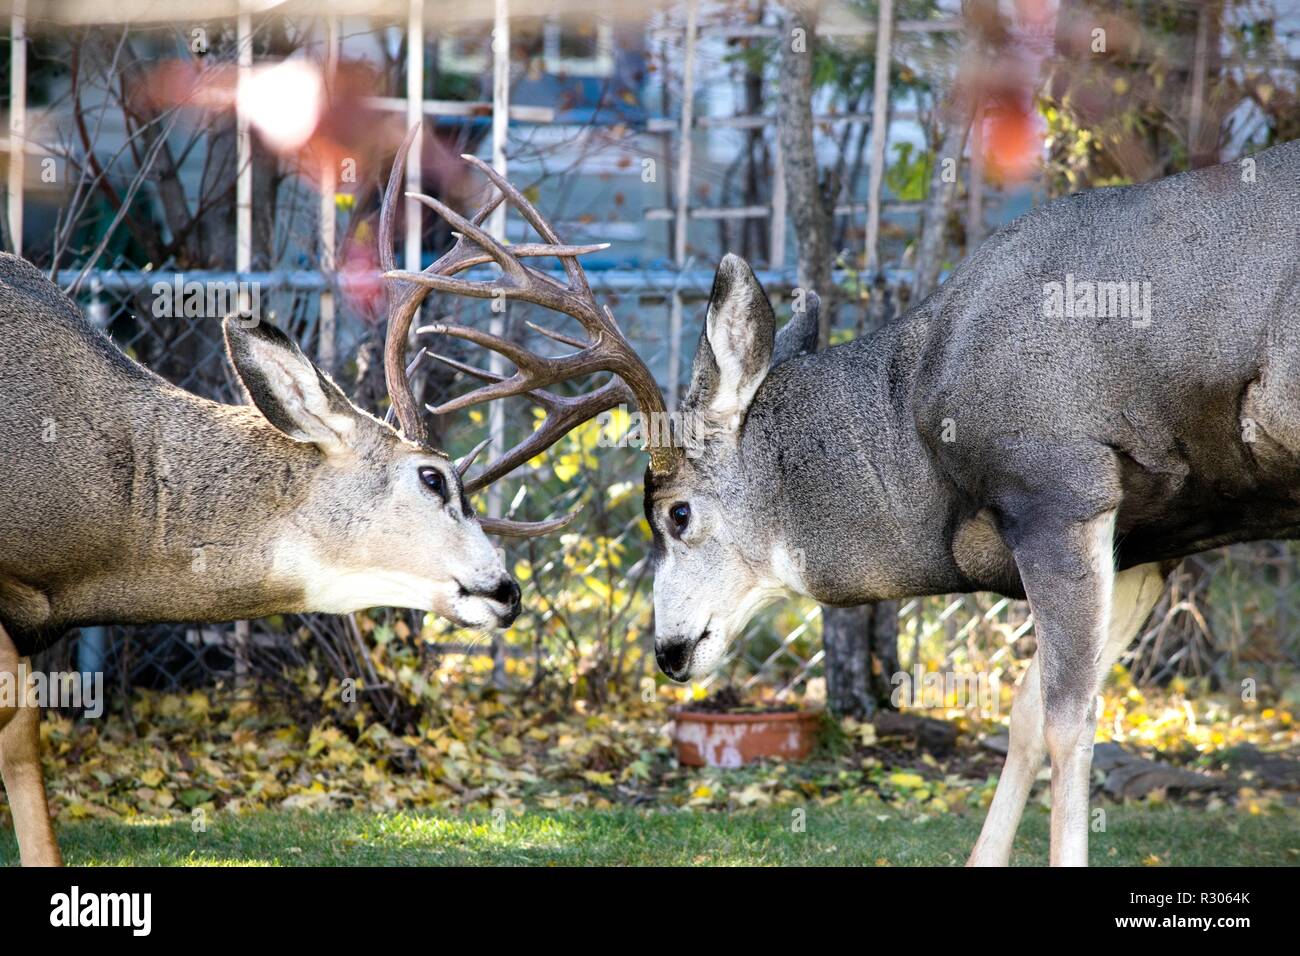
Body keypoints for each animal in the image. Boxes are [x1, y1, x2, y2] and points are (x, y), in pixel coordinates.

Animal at [391, 133, 1300, 866]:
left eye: (677, 514)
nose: (669, 652)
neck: (918, 424)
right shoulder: (1150, 536)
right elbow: (1025, 714)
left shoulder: (1058, 485)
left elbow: (1071, 720)